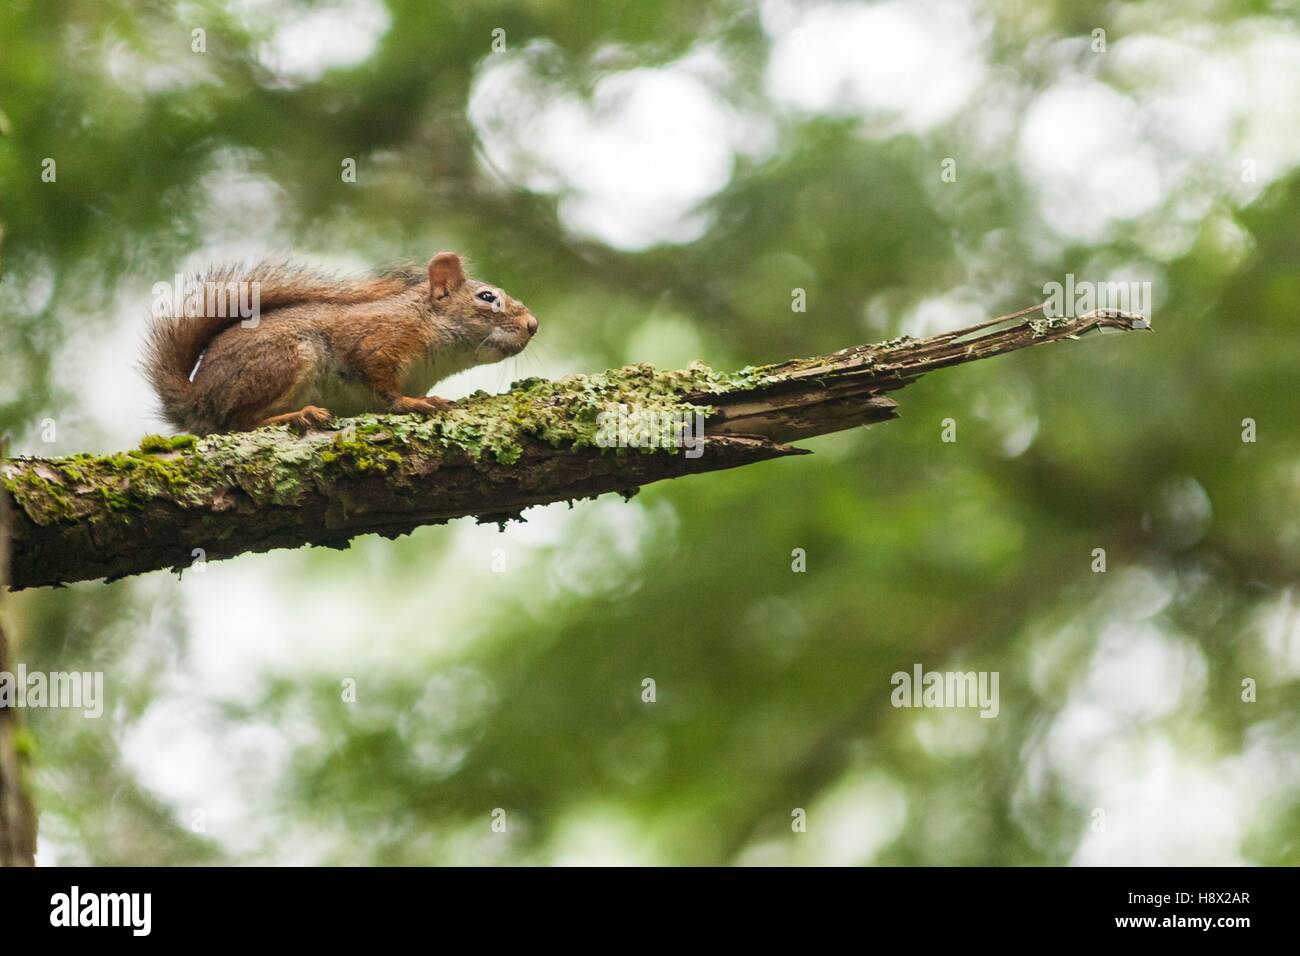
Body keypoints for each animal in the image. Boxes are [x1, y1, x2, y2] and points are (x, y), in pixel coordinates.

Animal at [144, 252, 538, 435]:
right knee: (240, 421)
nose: (533, 325)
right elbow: (383, 385)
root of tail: (197, 398)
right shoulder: (376, 343)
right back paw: (299, 414)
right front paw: (412, 403)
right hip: (282, 362)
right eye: (487, 298)